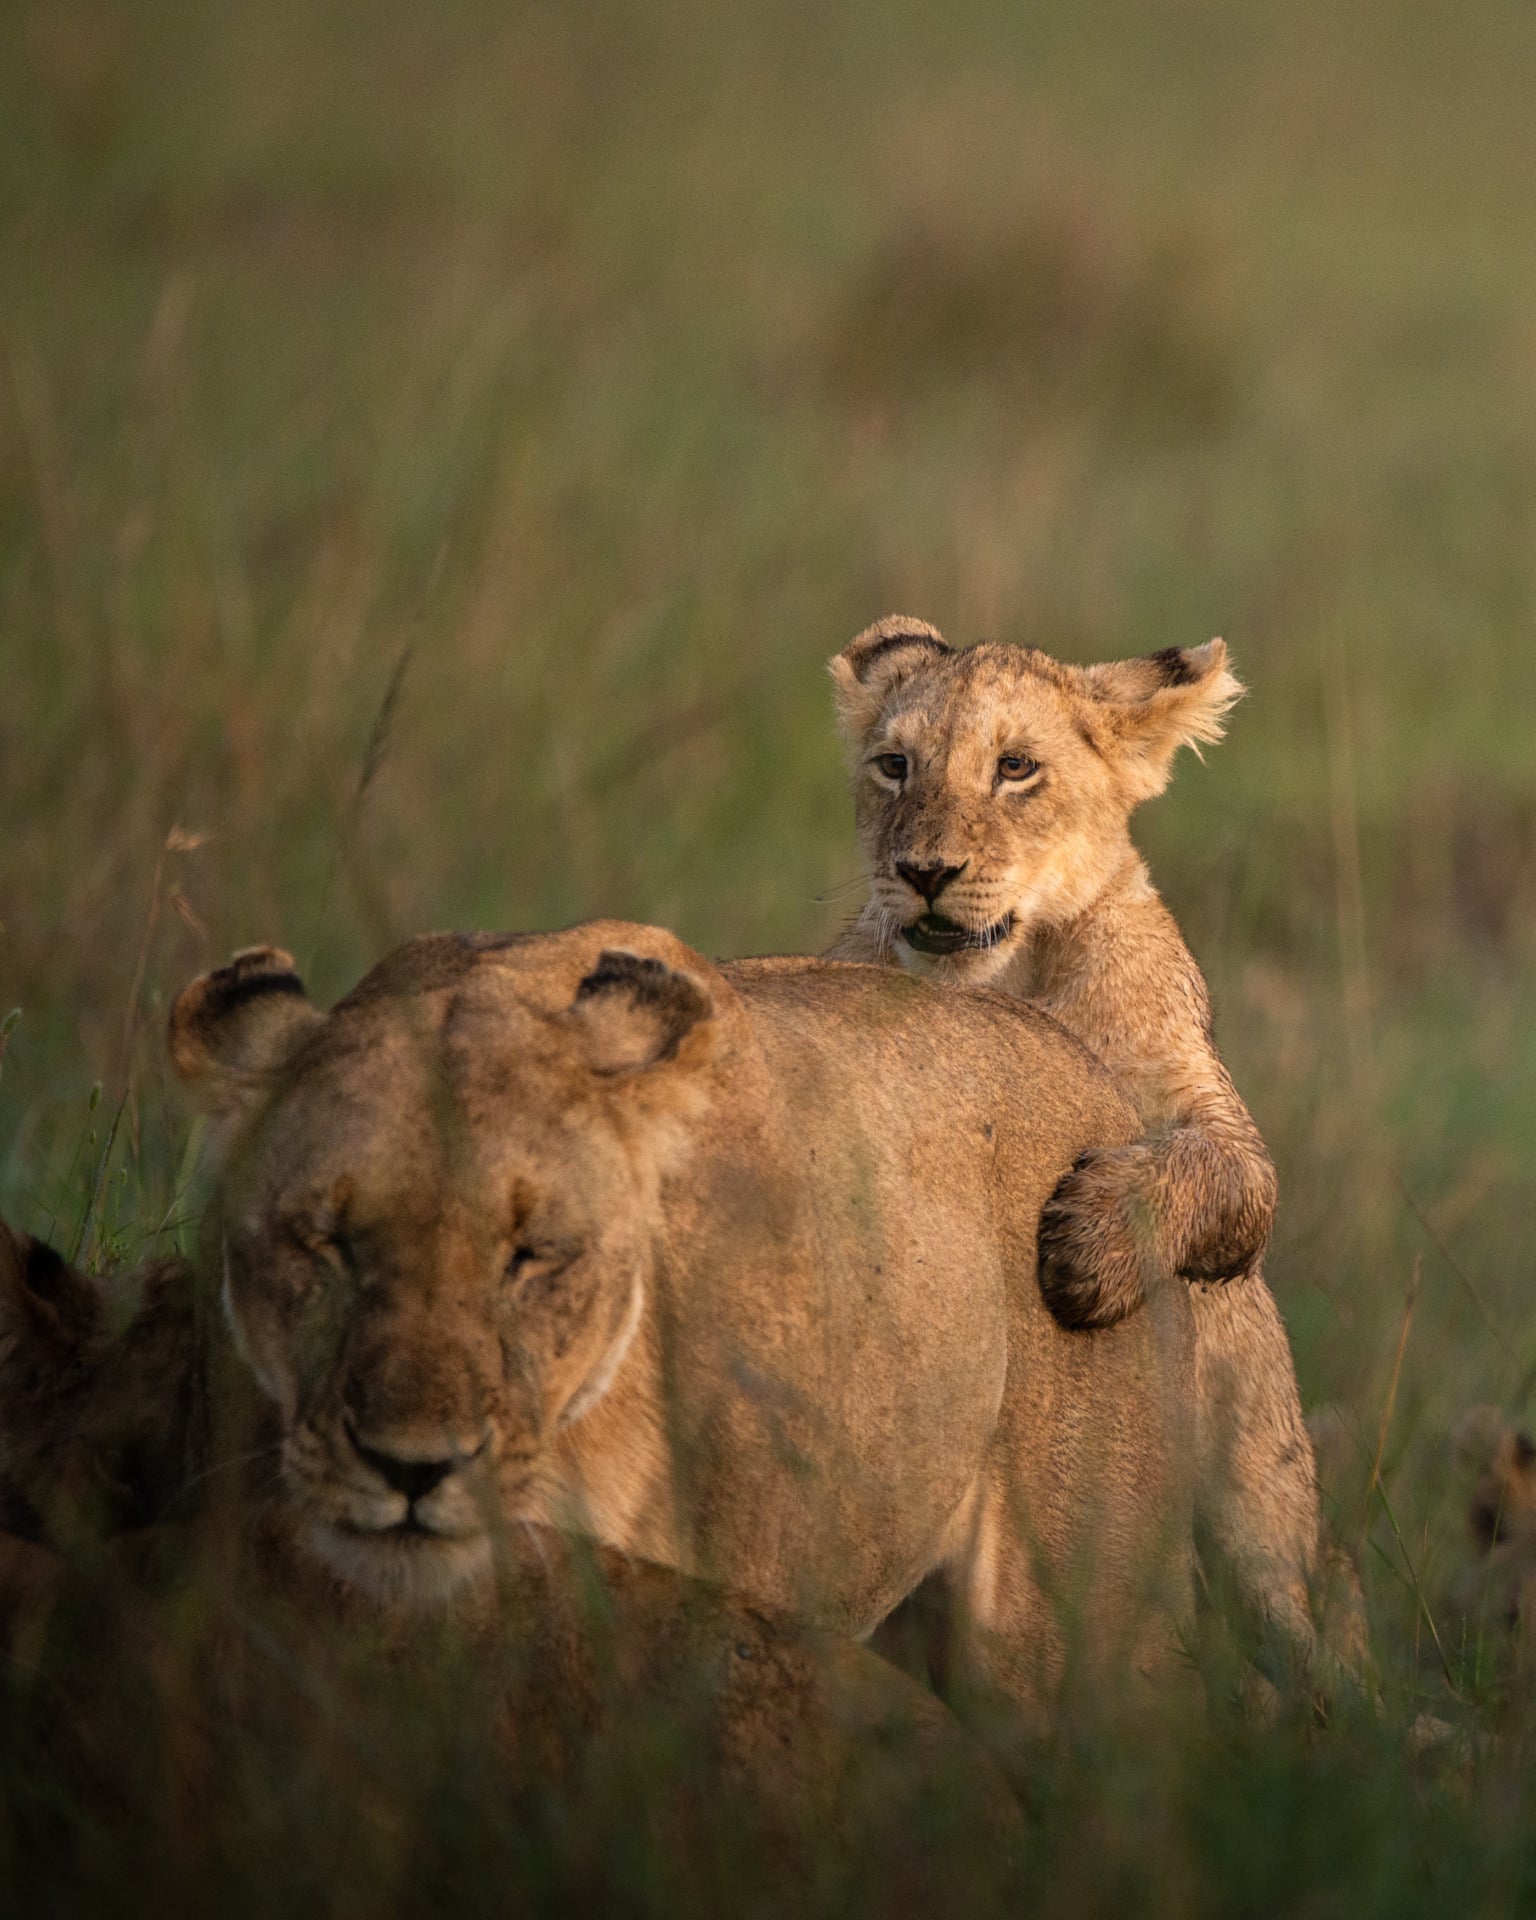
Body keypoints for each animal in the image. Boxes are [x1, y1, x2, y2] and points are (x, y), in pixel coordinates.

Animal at [826, 618, 1331, 1686]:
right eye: (895, 766)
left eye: (1015, 768)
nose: (924, 872)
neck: (1010, 977)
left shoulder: (1220, 1121)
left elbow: (1218, 1177)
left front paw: (1084, 1257)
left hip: (1260, 1478)